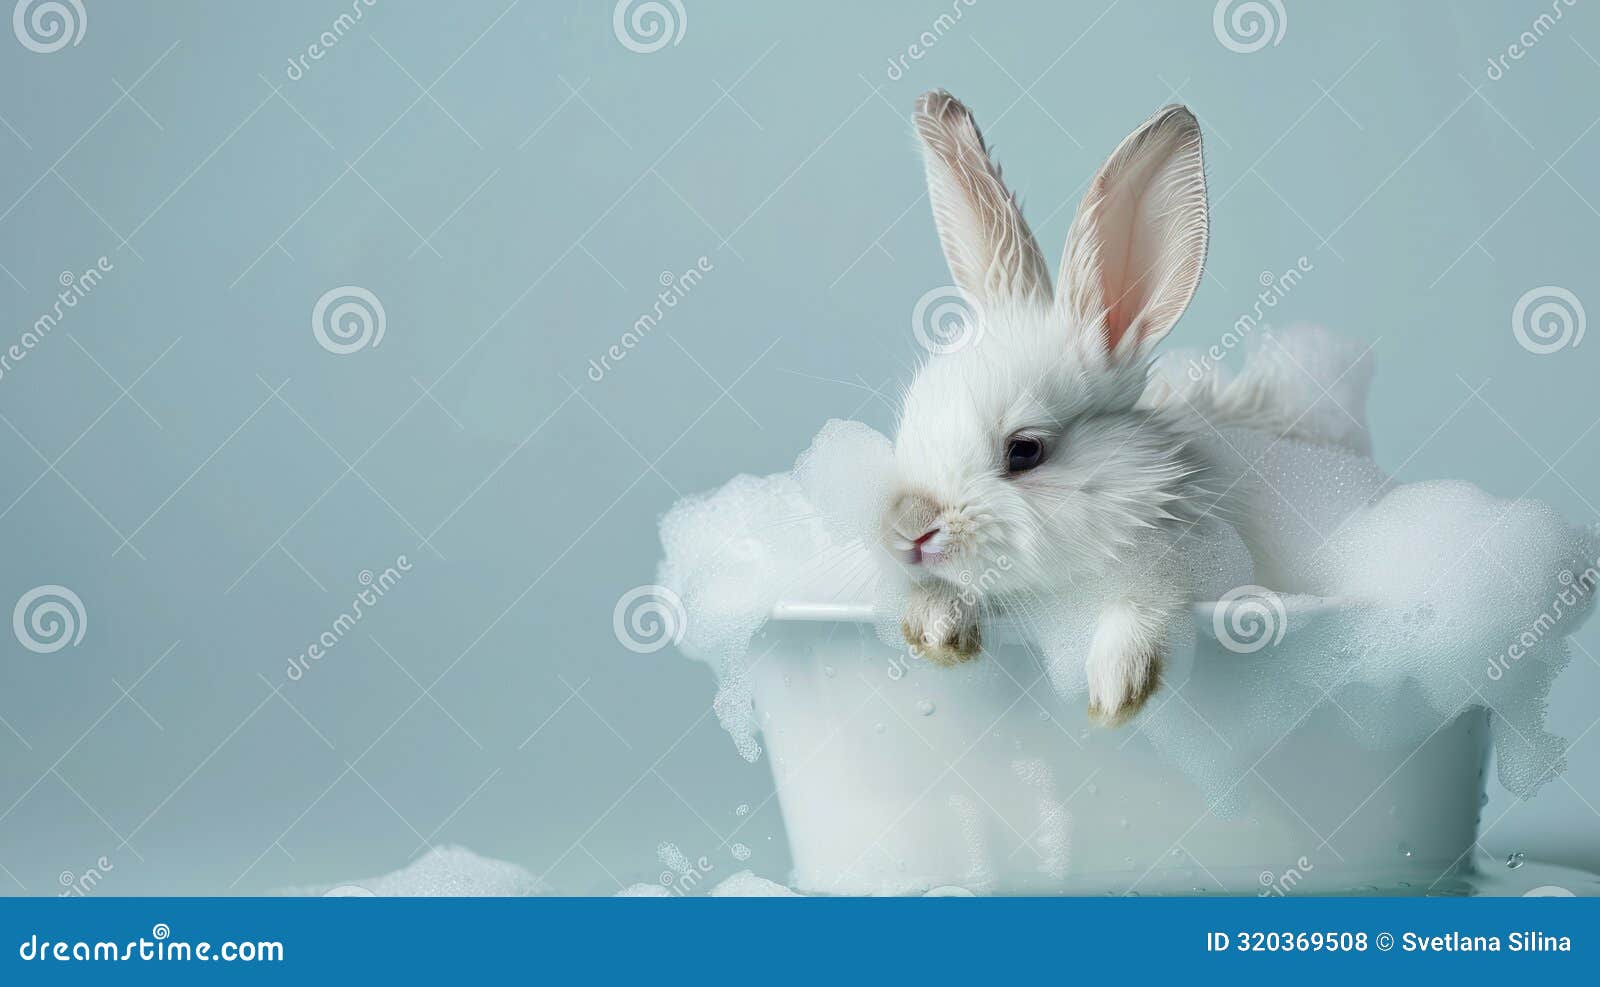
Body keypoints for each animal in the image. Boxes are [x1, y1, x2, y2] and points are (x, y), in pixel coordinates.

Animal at [883, 91, 1232, 725]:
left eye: (1025, 451)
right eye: (911, 419)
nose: (908, 528)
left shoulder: (1174, 572)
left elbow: (1142, 610)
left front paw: (1116, 692)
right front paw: (934, 628)